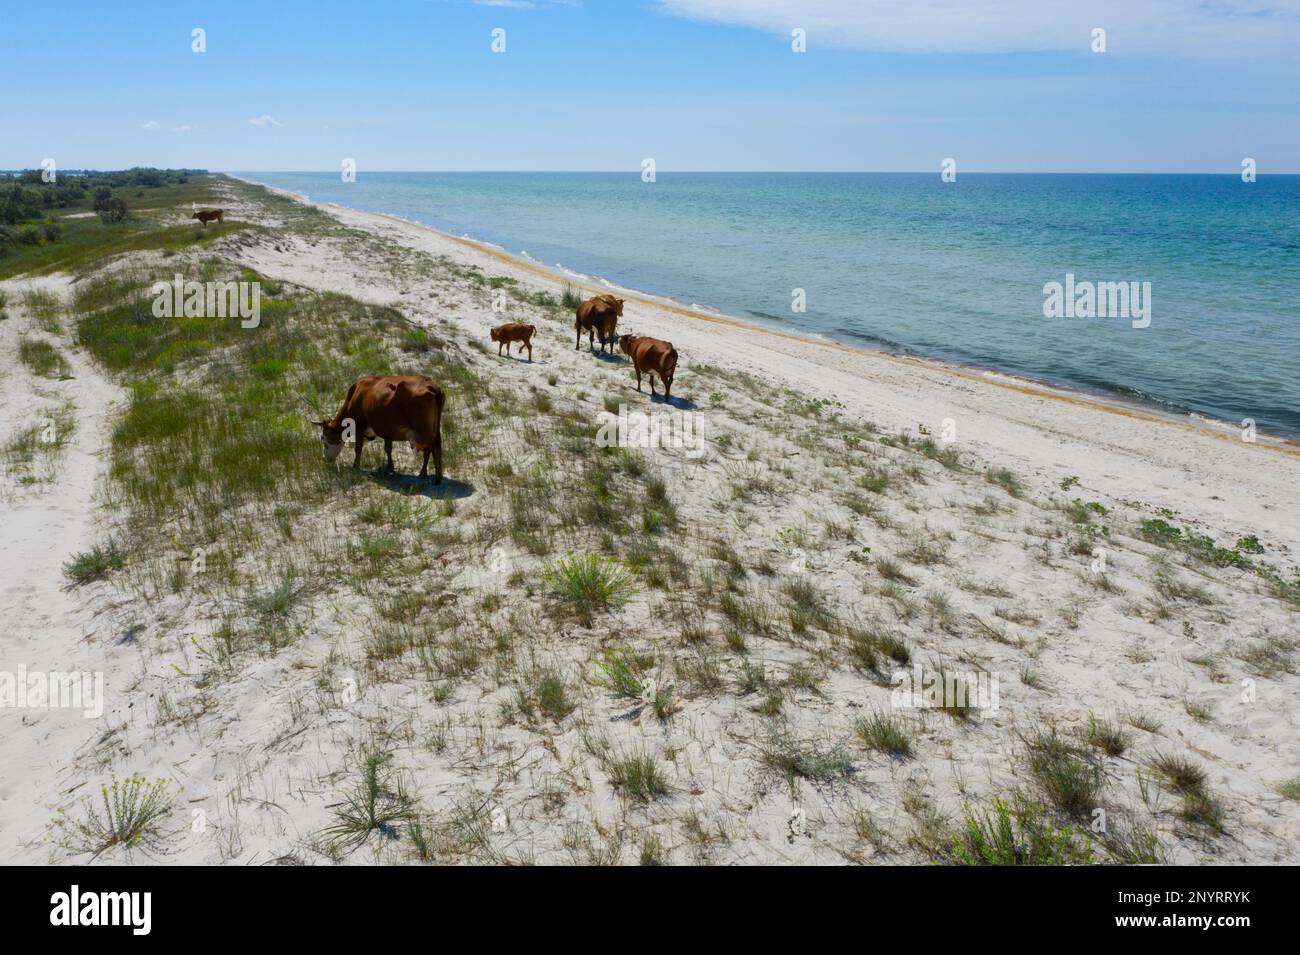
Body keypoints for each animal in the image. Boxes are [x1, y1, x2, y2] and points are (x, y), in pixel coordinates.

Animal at [313, 375, 445, 482]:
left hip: (424, 431)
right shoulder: (387, 429)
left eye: (323, 438)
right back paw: (433, 475)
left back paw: (425, 473)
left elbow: (358, 448)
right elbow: (388, 448)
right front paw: (389, 468)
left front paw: (355, 467)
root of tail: (430, 385)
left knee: (430, 449)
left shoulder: (359, 426)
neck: (356, 394)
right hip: (434, 429)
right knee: (433, 448)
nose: (325, 460)